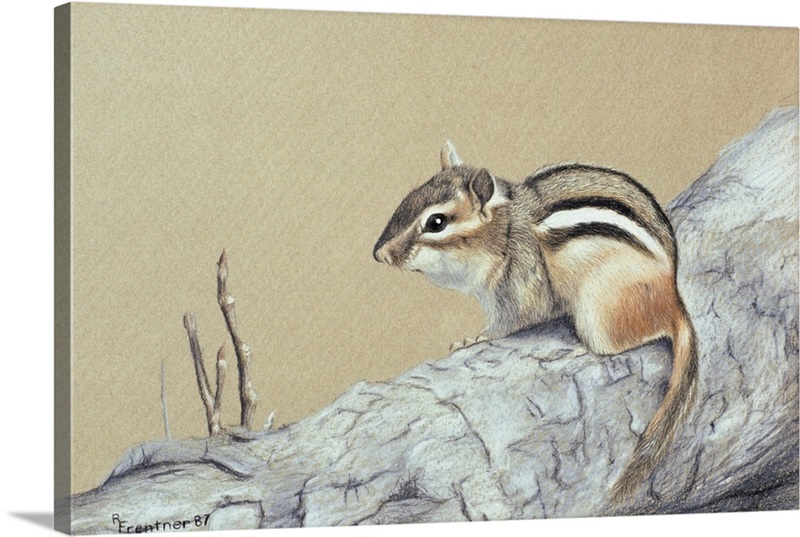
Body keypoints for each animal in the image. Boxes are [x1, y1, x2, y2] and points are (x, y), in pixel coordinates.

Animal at [373, 141, 698, 503]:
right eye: (409, 196)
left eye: (437, 222)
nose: (379, 254)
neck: (503, 228)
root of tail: (673, 301)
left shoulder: (520, 280)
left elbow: (512, 321)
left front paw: (475, 339)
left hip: (601, 306)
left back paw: (578, 349)